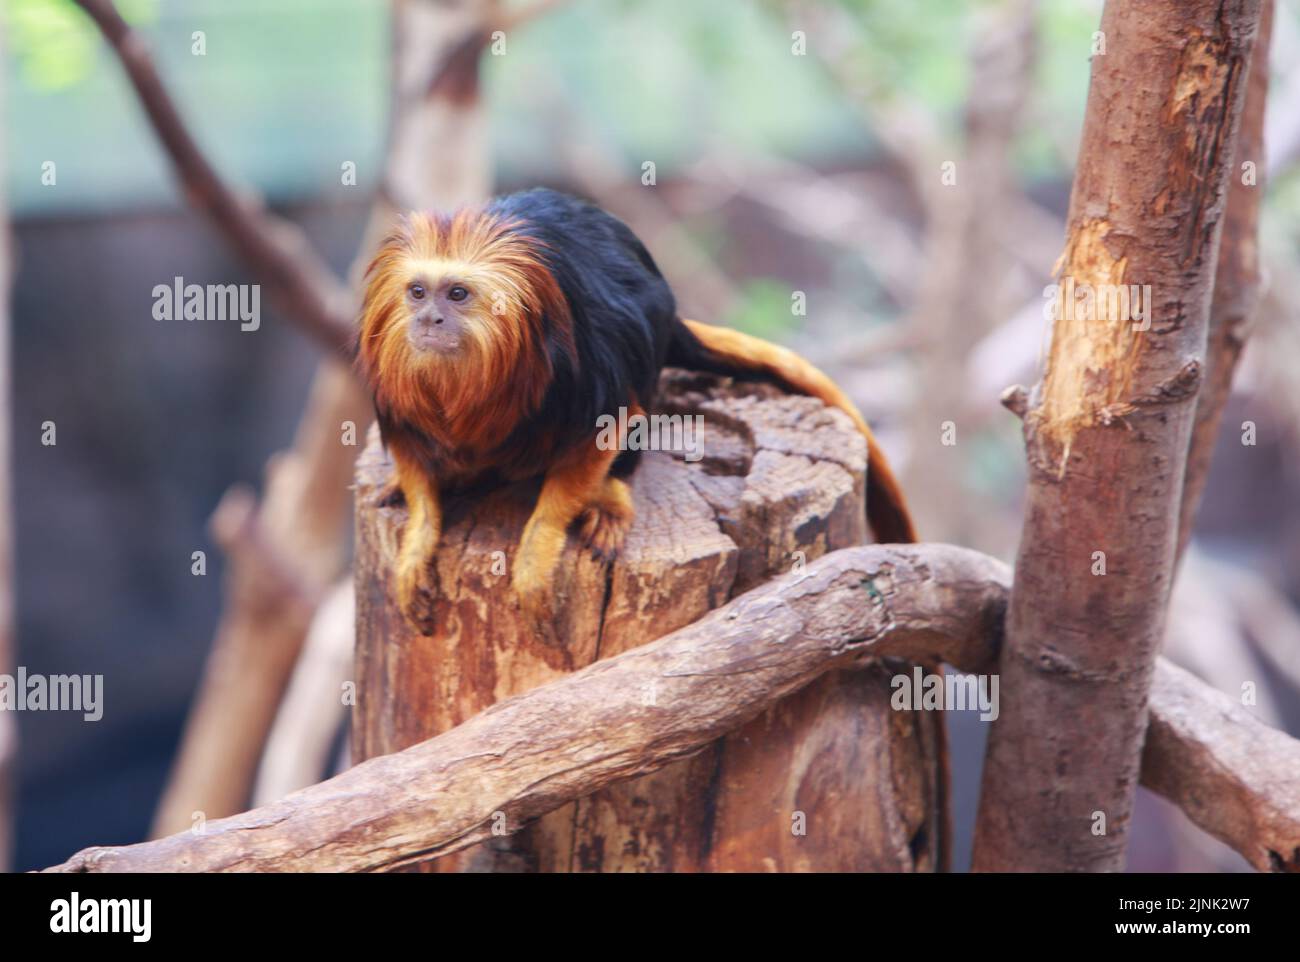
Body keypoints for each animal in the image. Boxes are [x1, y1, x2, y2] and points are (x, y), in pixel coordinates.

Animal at [356, 191, 915, 634]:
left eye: (457, 294)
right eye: (417, 292)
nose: (429, 319)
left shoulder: (579, 377)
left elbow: (602, 435)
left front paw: (536, 560)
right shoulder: (397, 403)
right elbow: (416, 468)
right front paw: (415, 547)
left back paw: (609, 497)